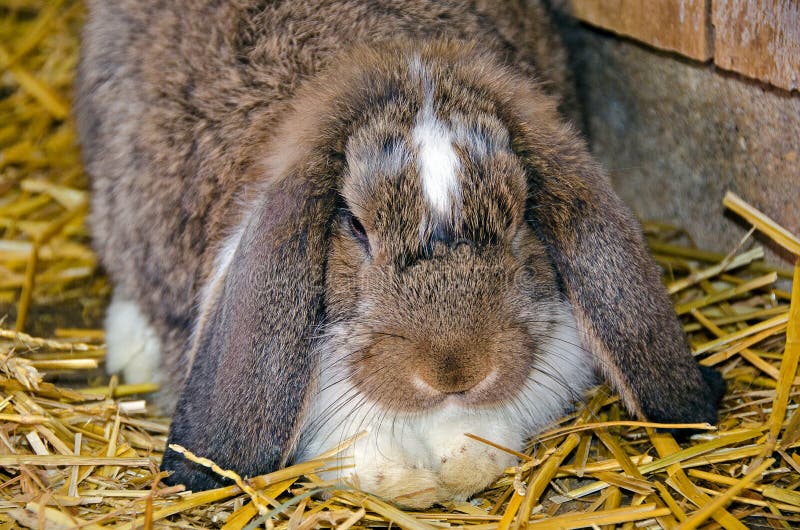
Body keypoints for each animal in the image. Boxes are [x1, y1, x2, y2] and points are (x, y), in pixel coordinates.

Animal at [75, 0, 724, 508]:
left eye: (518, 216)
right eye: (356, 226)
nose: (457, 371)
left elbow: (482, 440)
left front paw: (457, 467)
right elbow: (361, 456)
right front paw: (410, 482)